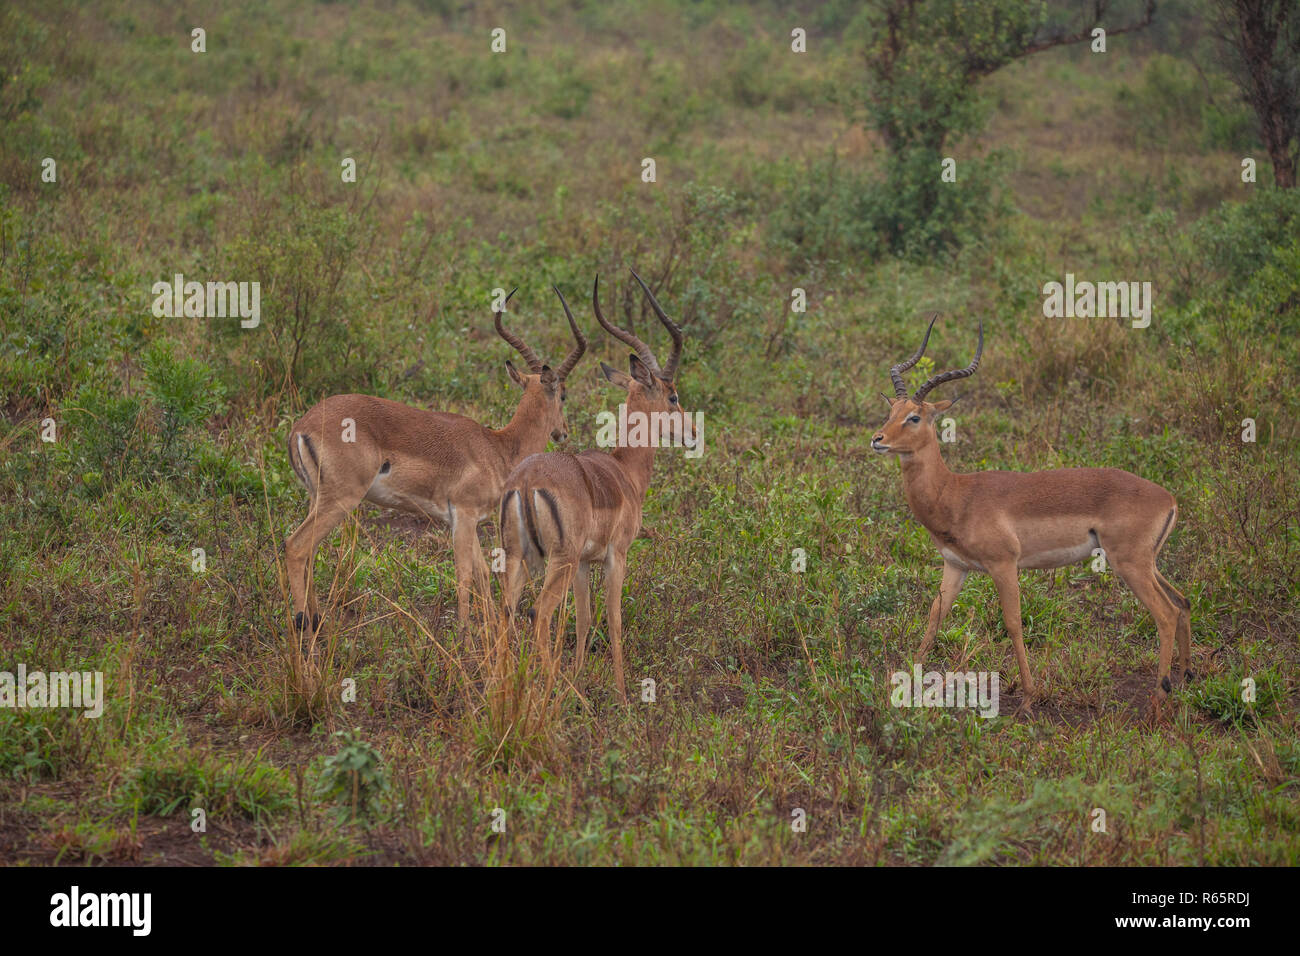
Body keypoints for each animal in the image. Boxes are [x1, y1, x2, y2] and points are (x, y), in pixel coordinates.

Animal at [284, 288, 586, 632]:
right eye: (563, 394)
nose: (562, 432)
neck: (498, 447)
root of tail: (301, 427)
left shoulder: (465, 519)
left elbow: (482, 574)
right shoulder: (464, 515)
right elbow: (464, 575)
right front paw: (464, 633)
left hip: (317, 497)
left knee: (309, 553)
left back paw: (317, 621)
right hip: (340, 499)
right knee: (296, 547)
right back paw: (302, 624)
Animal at [498, 271, 693, 701]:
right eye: (673, 395)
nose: (692, 433)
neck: (623, 471)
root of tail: (525, 482)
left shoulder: (588, 562)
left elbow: (585, 618)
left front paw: (579, 680)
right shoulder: (615, 556)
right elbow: (614, 619)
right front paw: (621, 695)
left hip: (520, 558)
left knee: (504, 610)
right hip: (559, 561)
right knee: (538, 613)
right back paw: (549, 691)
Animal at [872, 316, 1191, 714]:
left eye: (914, 417)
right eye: (891, 412)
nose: (878, 439)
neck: (956, 494)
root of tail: (1169, 498)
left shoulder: (1004, 564)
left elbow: (1013, 623)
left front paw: (1027, 697)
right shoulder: (956, 566)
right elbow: (934, 616)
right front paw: (904, 683)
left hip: (1130, 564)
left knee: (1165, 614)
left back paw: (1158, 697)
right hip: (1147, 562)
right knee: (1182, 602)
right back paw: (1184, 679)